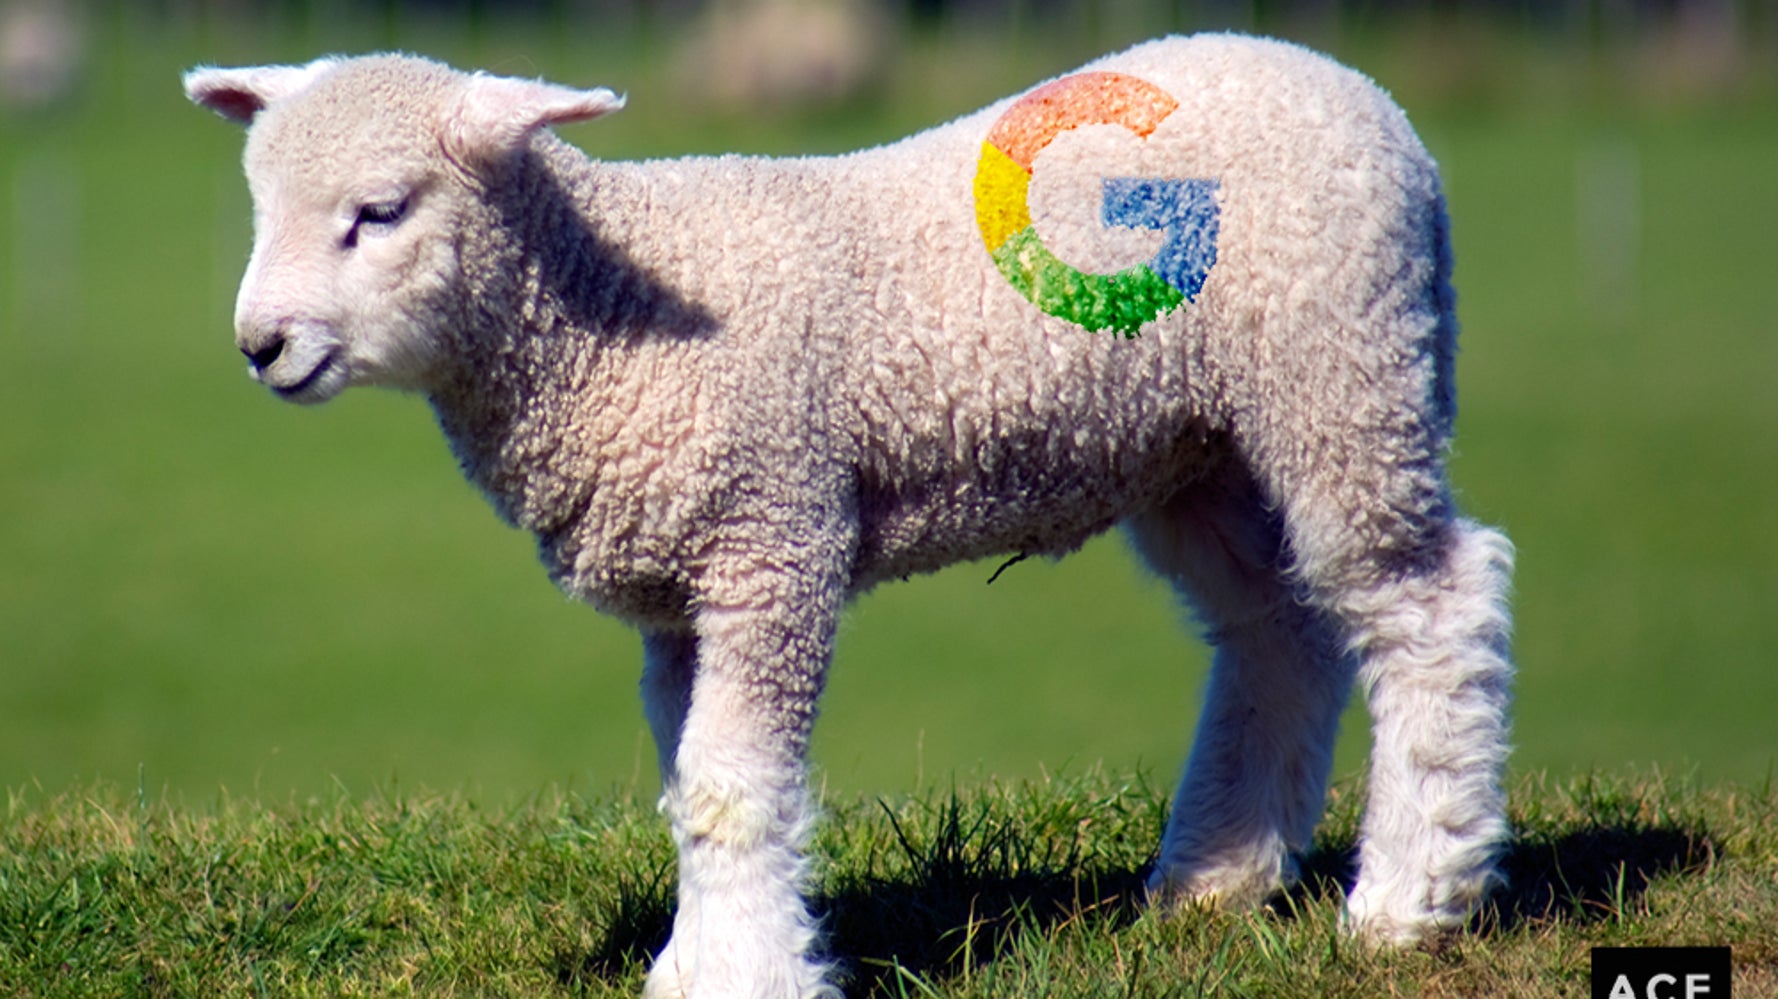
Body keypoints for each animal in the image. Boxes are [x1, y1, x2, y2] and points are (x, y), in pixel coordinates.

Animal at [184, 33, 1515, 998]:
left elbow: (730, 782)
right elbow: (689, 784)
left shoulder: (771, 536)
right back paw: (1214, 878)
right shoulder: (681, 585)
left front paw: (743, 977)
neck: (603, 315)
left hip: (1341, 368)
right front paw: (699, 957)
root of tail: (1357, 92)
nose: (260, 346)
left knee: (1428, 602)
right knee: (1276, 629)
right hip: (1198, 448)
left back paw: (1409, 900)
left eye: (380, 212)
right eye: (259, 206)